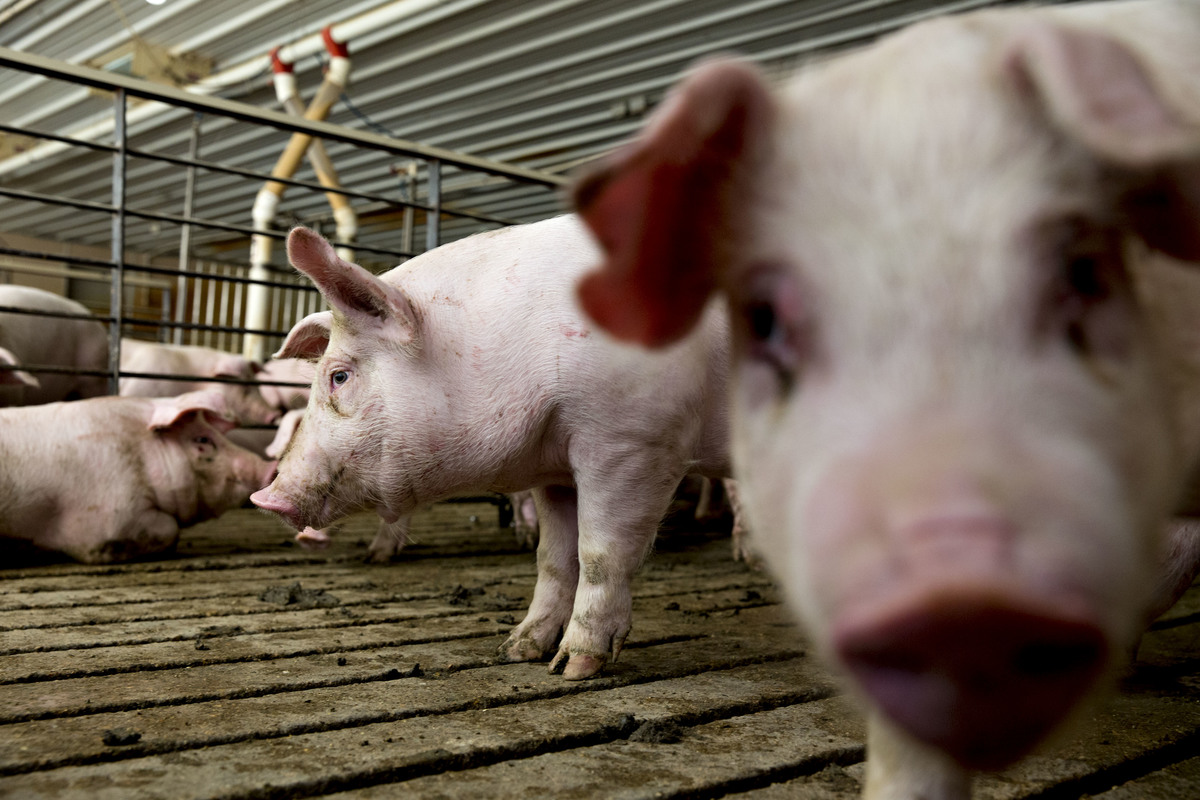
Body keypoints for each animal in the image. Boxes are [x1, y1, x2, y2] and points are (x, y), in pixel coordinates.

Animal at [251, 217, 730, 680]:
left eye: (339, 376)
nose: (264, 497)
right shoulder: (556, 470)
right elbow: (553, 557)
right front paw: (515, 651)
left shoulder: (634, 441)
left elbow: (599, 554)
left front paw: (572, 668)